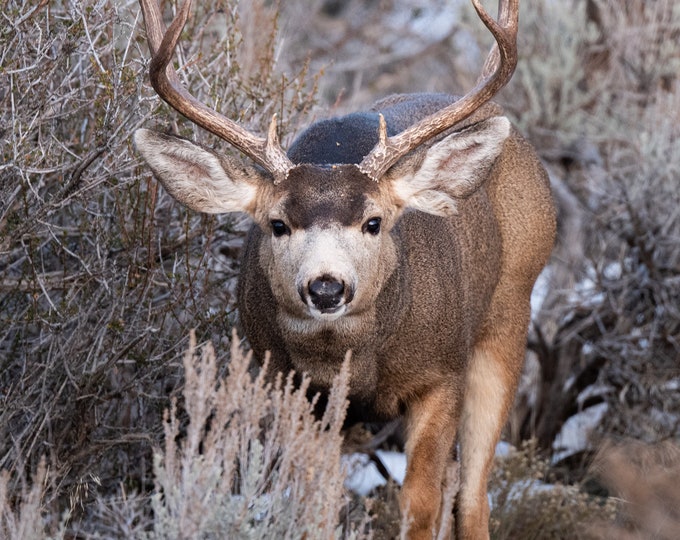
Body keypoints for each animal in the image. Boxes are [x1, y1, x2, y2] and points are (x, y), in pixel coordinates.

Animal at [133, 0, 555, 538]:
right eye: (277, 224)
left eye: (374, 222)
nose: (327, 287)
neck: (356, 363)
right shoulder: (291, 388)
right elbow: (318, 499)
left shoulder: (441, 374)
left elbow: (419, 502)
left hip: (508, 315)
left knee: (472, 494)